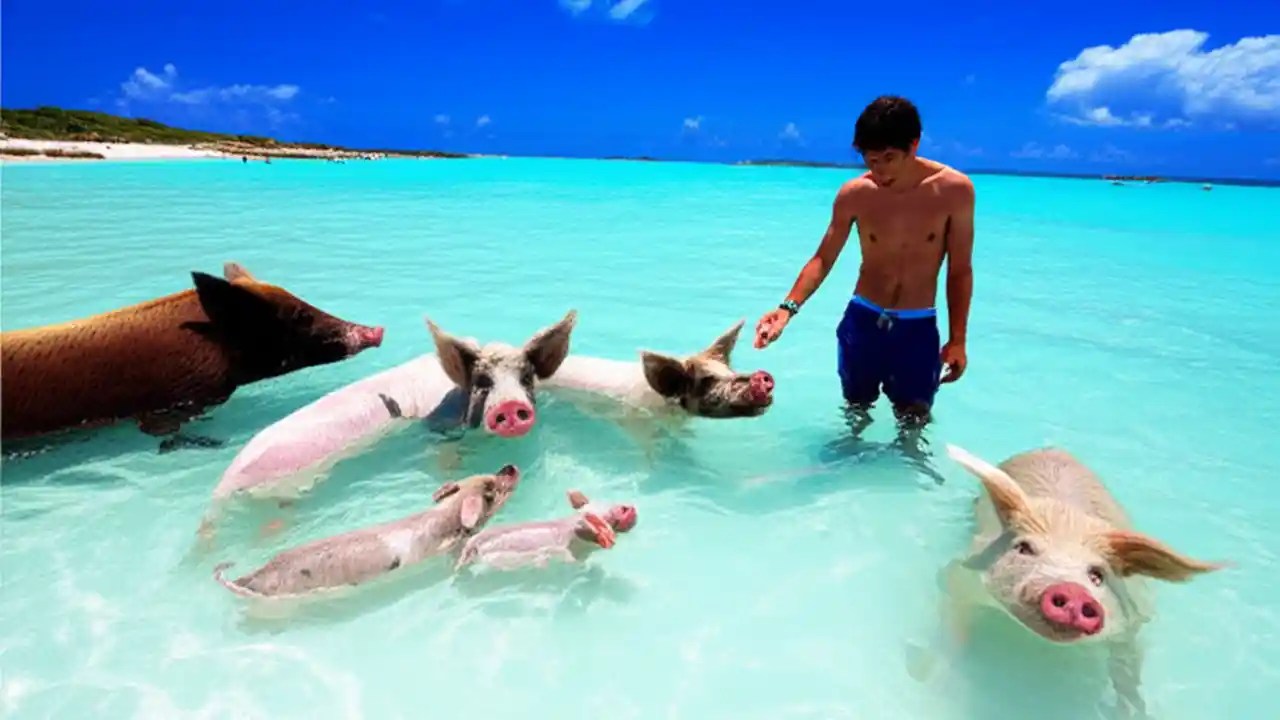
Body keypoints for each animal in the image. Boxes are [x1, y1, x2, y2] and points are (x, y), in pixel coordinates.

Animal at [936, 443, 1228, 718]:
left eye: (1096, 575)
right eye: (1024, 548)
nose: (1073, 590)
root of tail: (1052, 447)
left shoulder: (1131, 619)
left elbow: (1127, 669)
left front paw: (1134, 711)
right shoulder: (964, 576)